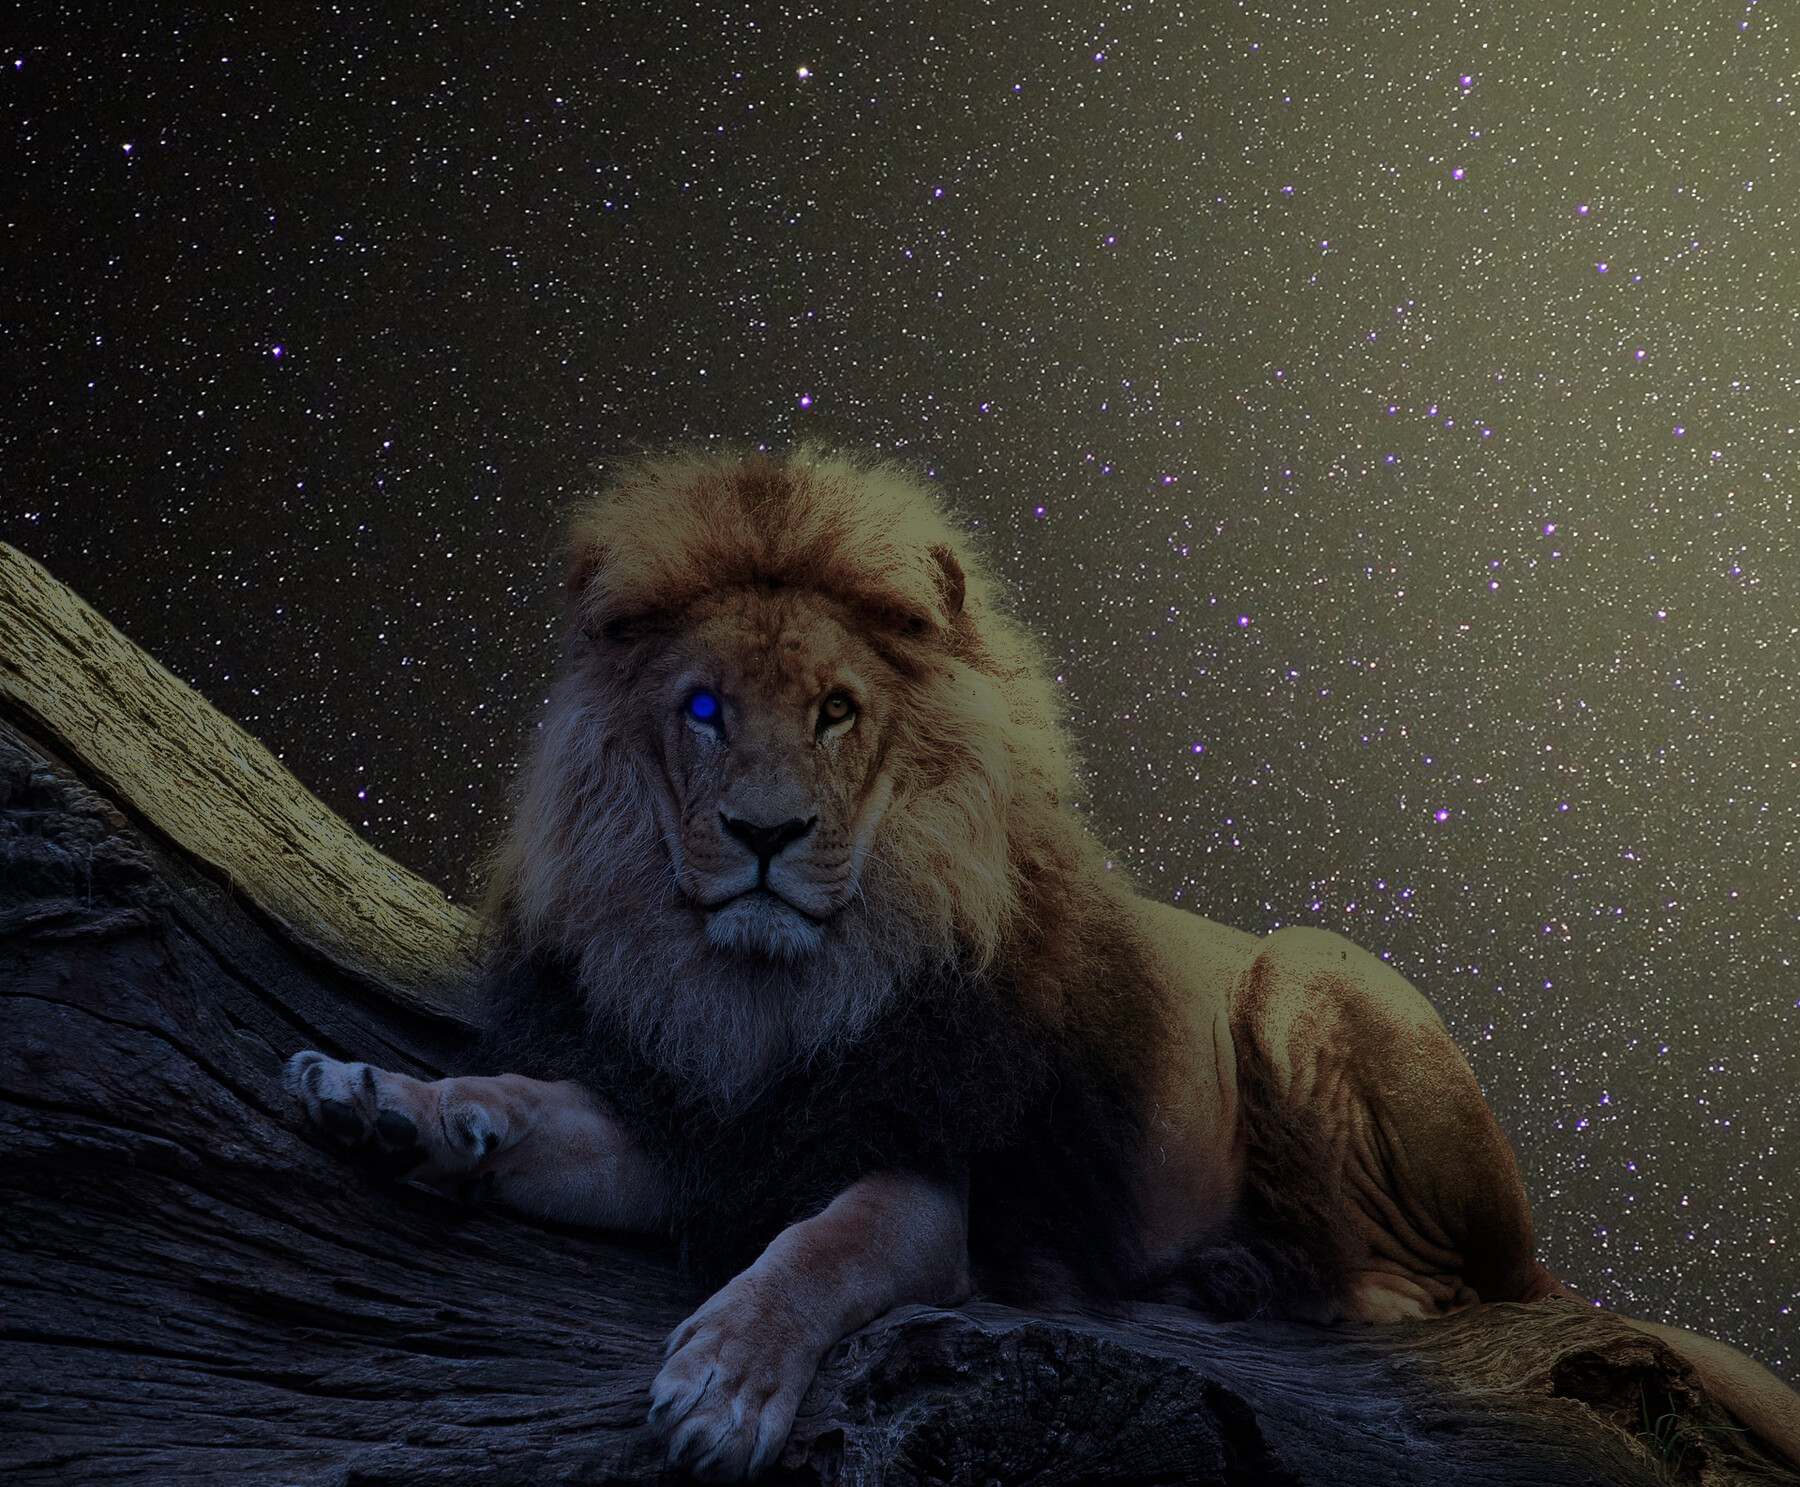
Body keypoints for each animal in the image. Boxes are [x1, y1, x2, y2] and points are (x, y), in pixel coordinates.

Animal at [286, 449, 1800, 1481]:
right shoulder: (722, 1123)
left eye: (837, 712)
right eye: (704, 708)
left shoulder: (931, 1174)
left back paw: (1263, 1279)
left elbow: (823, 1245)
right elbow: (544, 1110)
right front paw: (392, 1103)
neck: (766, 990)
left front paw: (724, 1379)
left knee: (1435, 1283)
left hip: (1309, 972)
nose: (765, 836)